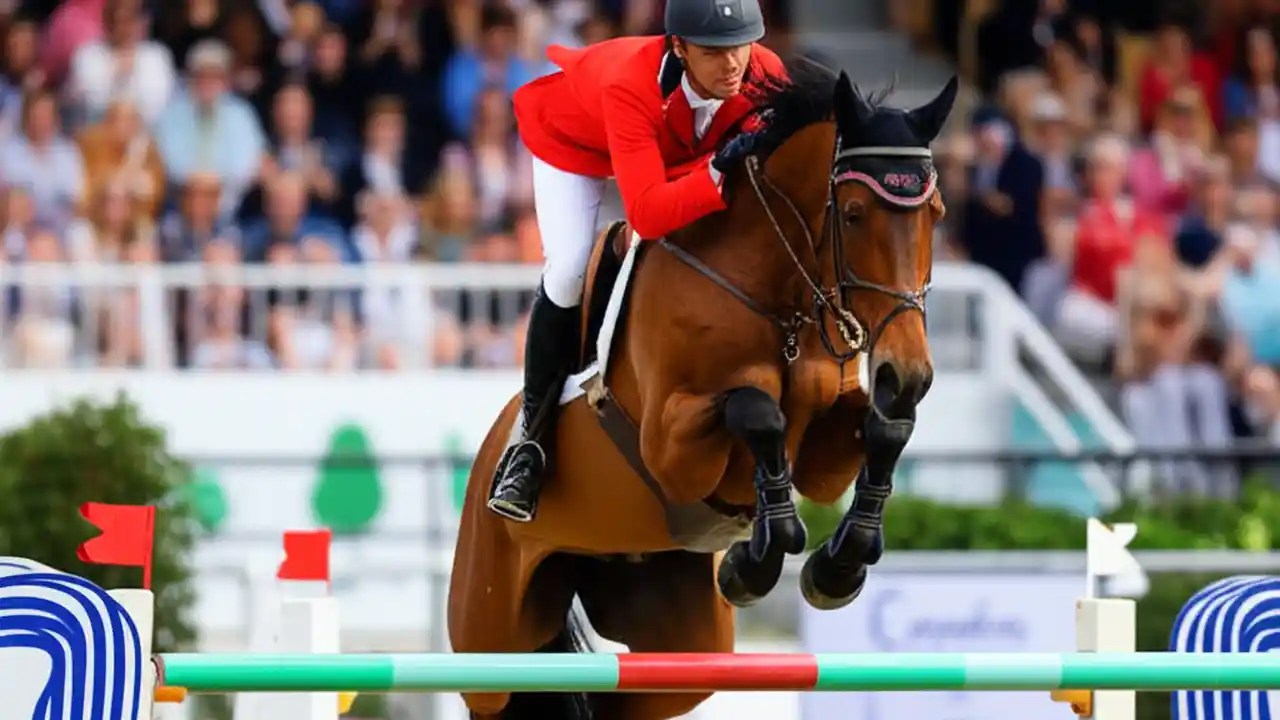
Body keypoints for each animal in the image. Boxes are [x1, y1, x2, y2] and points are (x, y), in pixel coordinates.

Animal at [448, 59, 957, 720]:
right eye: (852, 214)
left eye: (936, 213)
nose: (908, 374)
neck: (777, 295)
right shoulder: (668, 446)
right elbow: (757, 408)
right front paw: (755, 559)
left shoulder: (822, 456)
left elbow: (886, 428)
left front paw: (836, 567)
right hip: (489, 634)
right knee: (498, 691)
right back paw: (519, 476)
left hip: (678, 647)